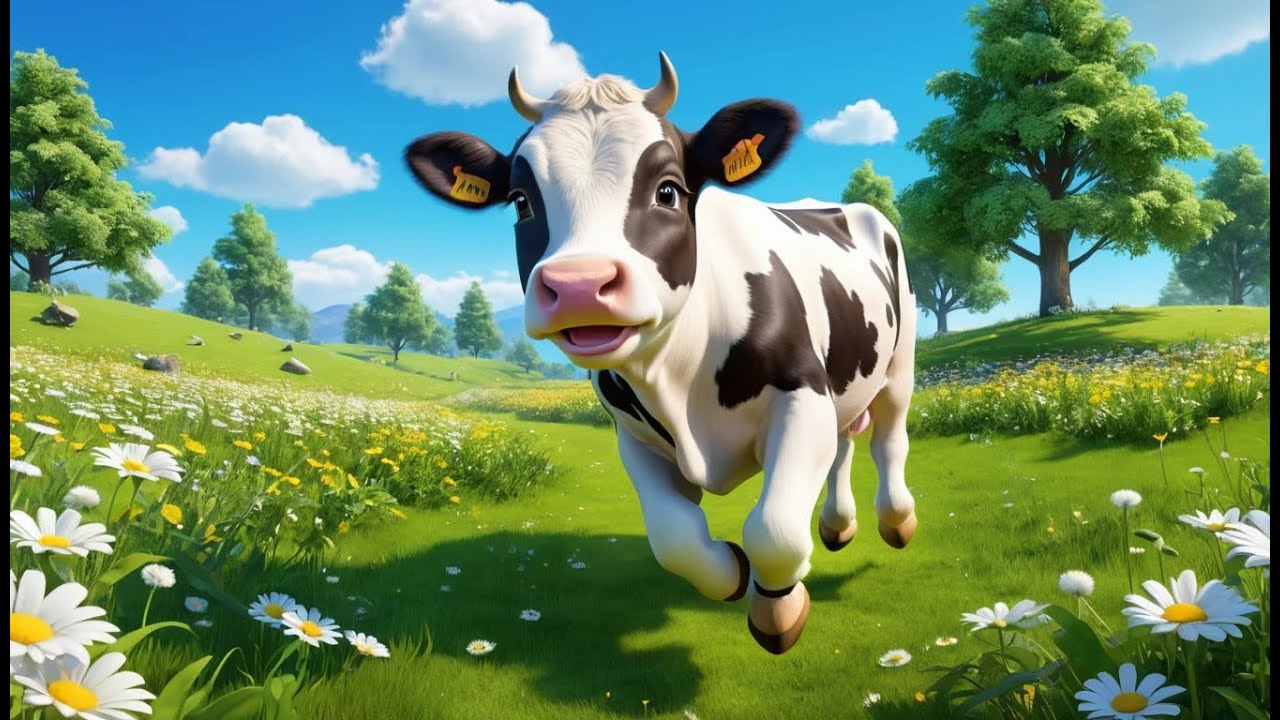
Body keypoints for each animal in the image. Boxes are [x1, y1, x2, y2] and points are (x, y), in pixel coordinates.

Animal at [404, 53, 917, 655]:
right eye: (521, 201)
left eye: (669, 191)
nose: (579, 286)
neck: (678, 377)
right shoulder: (633, 436)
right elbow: (674, 537)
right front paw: (730, 573)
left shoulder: (803, 395)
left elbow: (774, 527)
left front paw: (779, 609)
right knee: (844, 442)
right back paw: (838, 525)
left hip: (899, 364)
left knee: (888, 439)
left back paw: (895, 519)